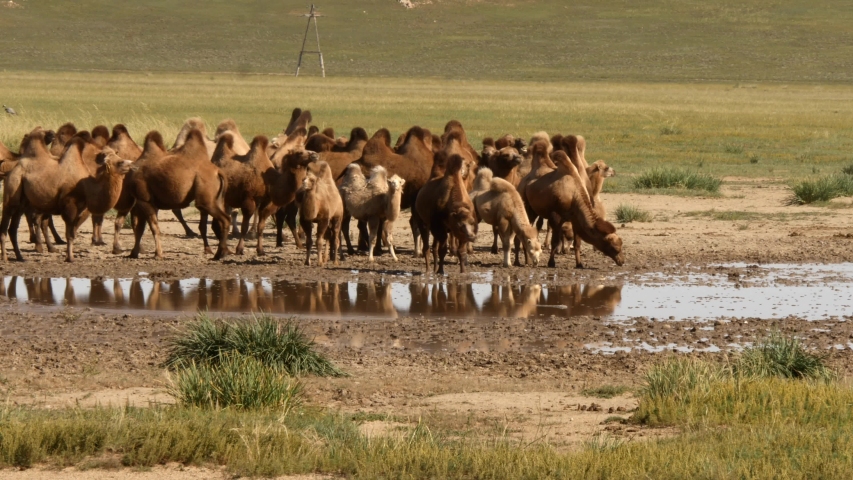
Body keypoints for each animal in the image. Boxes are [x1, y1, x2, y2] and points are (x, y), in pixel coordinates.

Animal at [126, 128, 230, 260]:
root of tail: (217, 172)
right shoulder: (144, 203)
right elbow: (140, 228)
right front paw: (134, 253)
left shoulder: (144, 200)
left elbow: (152, 228)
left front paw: (158, 254)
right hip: (217, 198)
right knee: (215, 222)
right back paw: (222, 251)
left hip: (206, 200)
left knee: (224, 219)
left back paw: (219, 254)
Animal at [525, 138, 624, 269]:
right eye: (614, 247)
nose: (622, 261)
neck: (574, 196)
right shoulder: (556, 216)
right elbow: (555, 241)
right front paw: (551, 263)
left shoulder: (575, 219)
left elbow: (577, 243)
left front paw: (579, 263)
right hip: (527, 204)